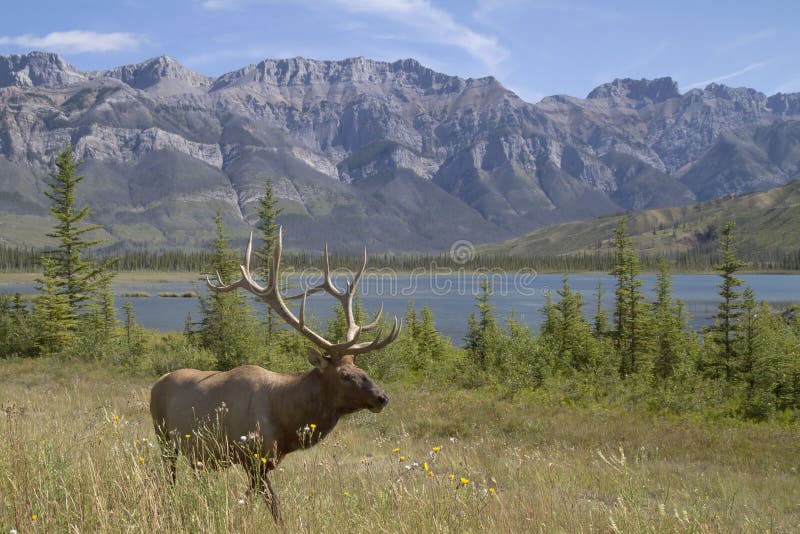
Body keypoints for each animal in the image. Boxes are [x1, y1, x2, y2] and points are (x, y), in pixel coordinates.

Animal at [149, 227, 401, 521]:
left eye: (362, 369)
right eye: (344, 375)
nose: (382, 397)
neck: (286, 420)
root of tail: (155, 385)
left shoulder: (265, 462)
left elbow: (251, 500)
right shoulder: (252, 456)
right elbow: (273, 505)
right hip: (164, 437)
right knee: (169, 478)